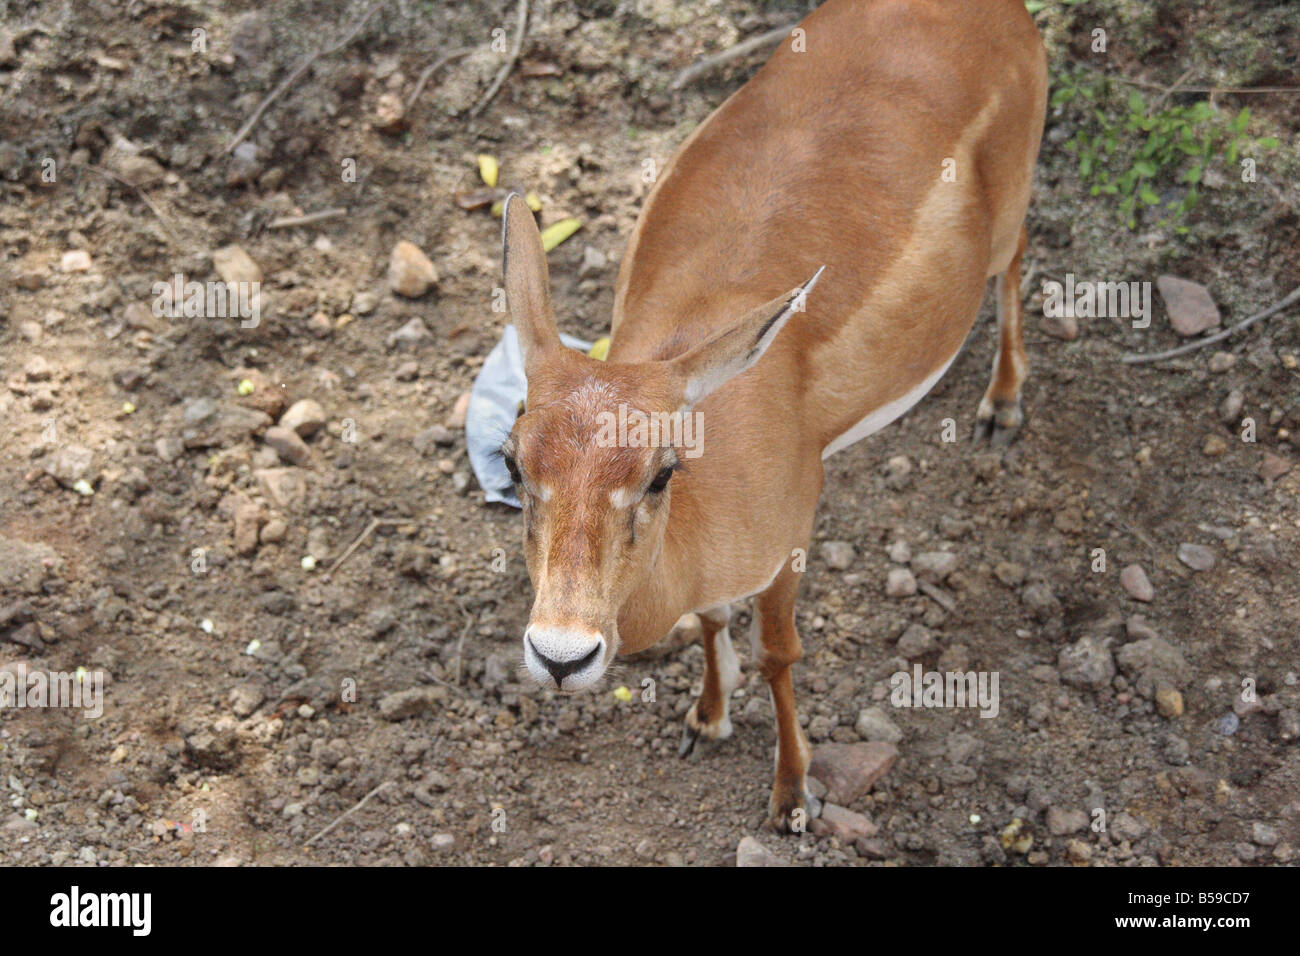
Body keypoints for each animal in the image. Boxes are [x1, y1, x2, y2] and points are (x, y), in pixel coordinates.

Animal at [496, 0, 1047, 831]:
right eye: (512, 461)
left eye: (661, 472)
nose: (563, 655)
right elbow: (712, 622)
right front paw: (705, 718)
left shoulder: (791, 536)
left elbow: (779, 654)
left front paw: (793, 791)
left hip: (1013, 202)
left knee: (1014, 256)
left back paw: (1003, 405)